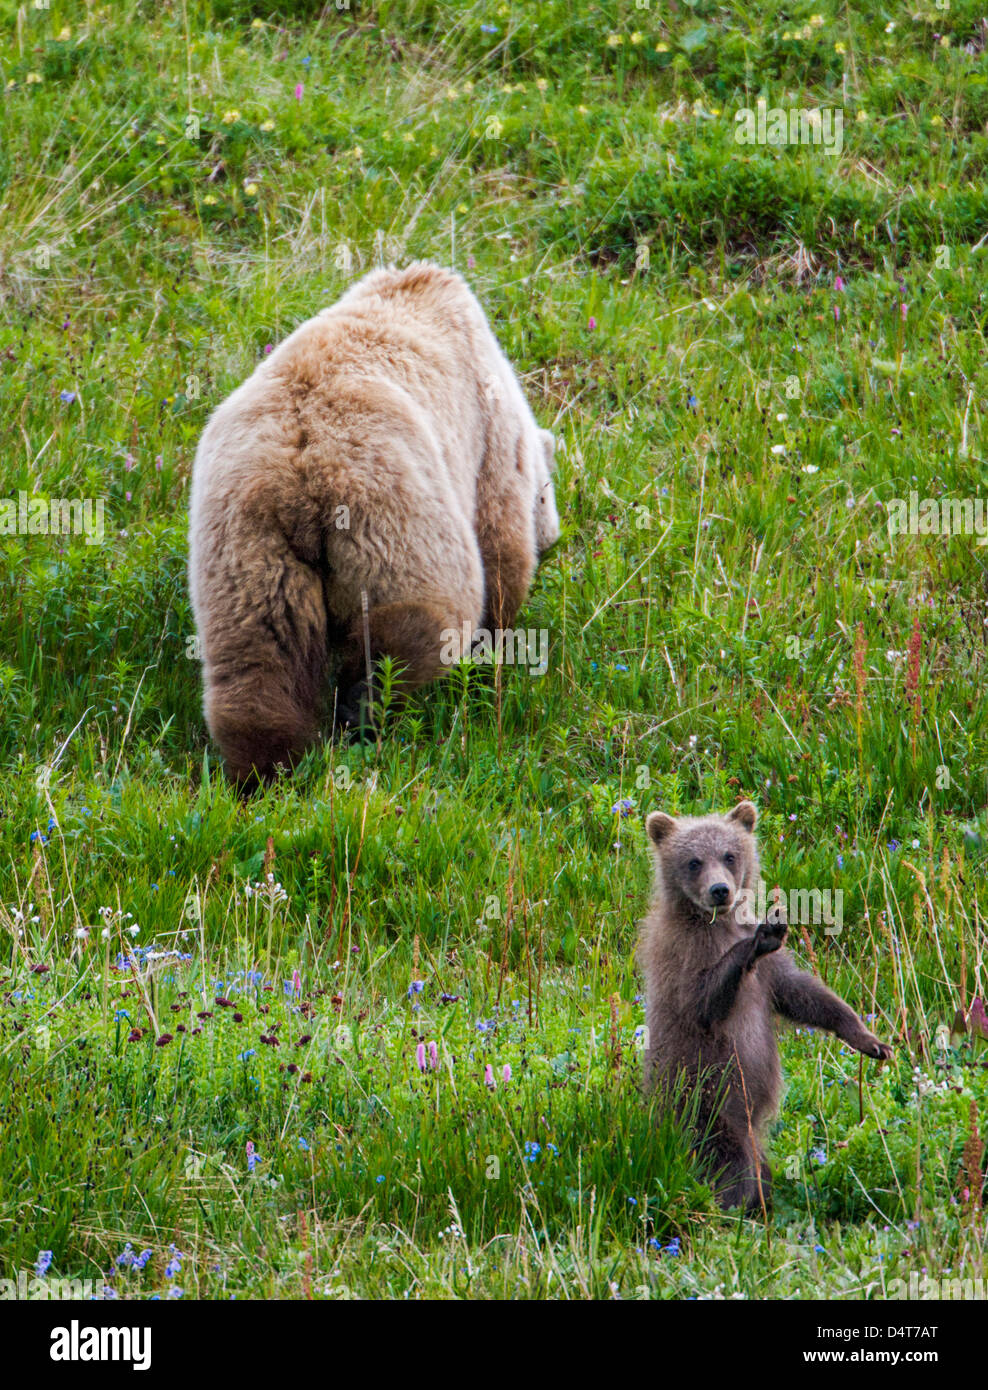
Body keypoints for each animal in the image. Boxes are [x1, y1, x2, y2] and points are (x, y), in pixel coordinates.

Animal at [188, 261, 560, 786]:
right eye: (546, 497)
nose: (555, 533)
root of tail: (300, 473)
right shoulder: (488, 429)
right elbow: (500, 542)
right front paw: (498, 642)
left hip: (245, 547)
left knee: (260, 658)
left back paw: (266, 769)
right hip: (392, 522)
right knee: (415, 625)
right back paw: (366, 717)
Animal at [637, 800, 892, 1213]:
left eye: (729, 854)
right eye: (694, 861)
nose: (720, 890)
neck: (717, 924)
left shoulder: (769, 976)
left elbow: (801, 993)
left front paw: (869, 1040)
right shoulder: (683, 953)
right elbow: (701, 1002)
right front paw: (758, 939)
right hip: (707, 1101)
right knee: (729, 1158)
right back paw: (738, 1203)